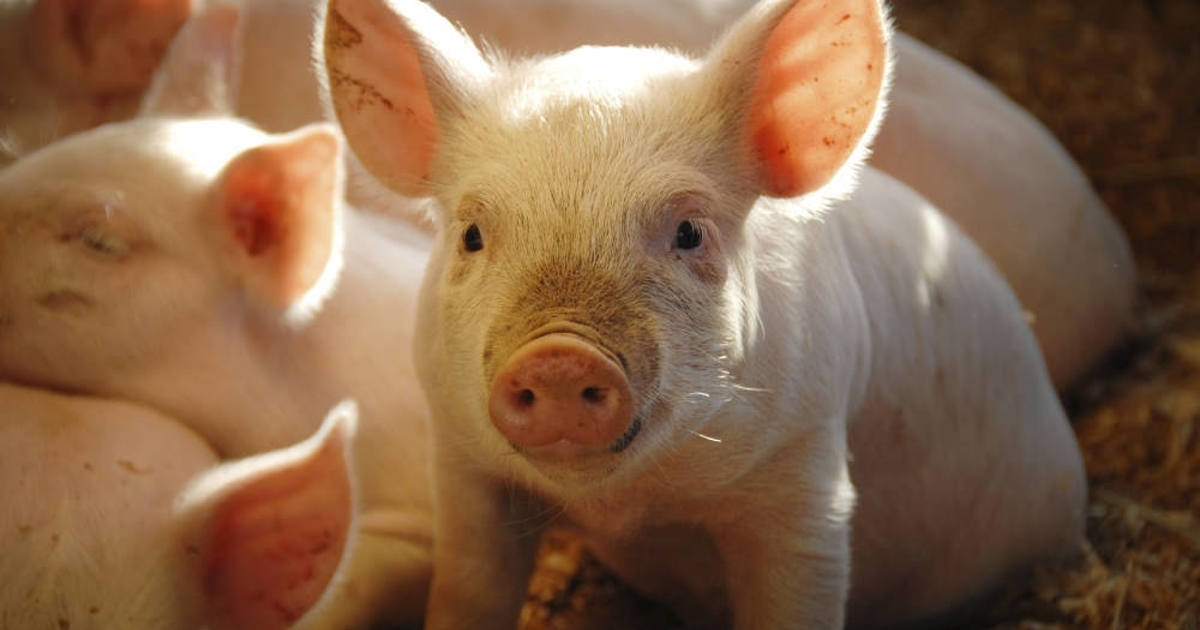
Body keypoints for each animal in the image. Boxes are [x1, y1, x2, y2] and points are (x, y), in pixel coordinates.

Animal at [321, 0, 1088, 628]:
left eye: (689, 231)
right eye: (473, 234)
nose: (560, 355)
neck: (630, 506)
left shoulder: (807, 477)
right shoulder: (460, 463)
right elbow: (470, 589)